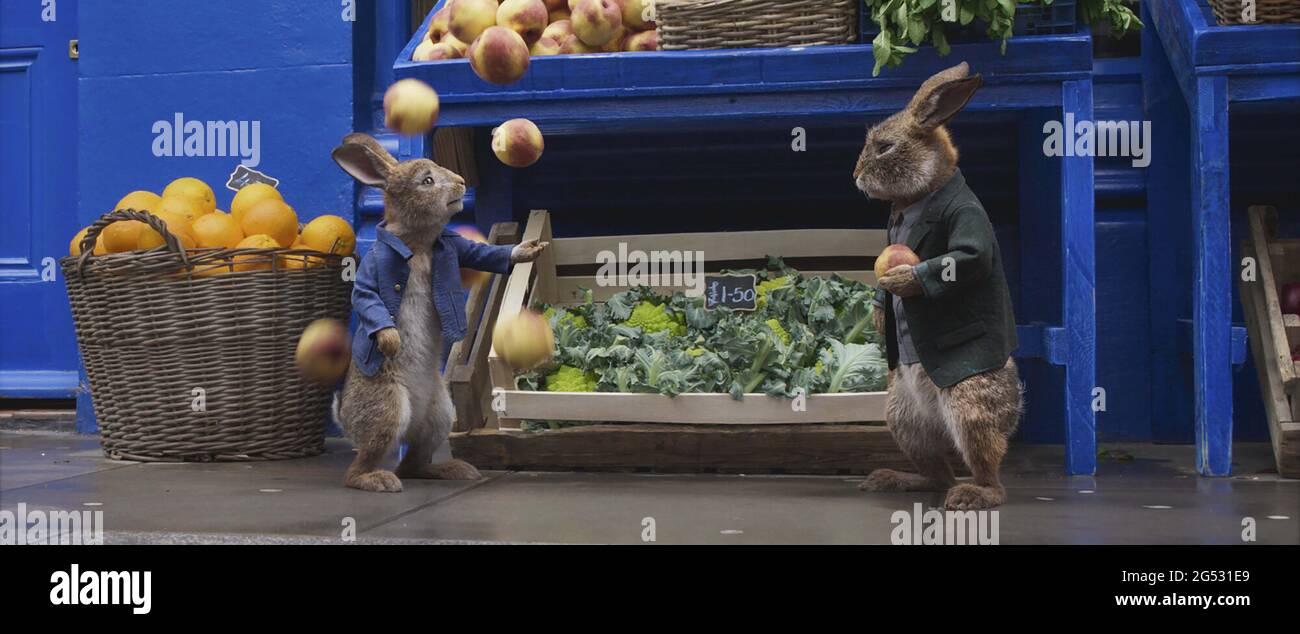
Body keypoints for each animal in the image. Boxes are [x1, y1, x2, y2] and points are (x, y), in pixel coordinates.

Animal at [329, 133, 546, 492]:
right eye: (427, 181)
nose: (461, 182)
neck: (418, 243)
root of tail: (343, 418)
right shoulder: (373, 272)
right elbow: (368, 298)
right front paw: (390, 341)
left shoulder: (458, 248)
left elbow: (484, 254)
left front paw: (527, 250)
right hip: (387, 410)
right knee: (359, 469)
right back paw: (378, 480)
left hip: (440, 415)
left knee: (412, 464)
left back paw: (454, 470)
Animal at [852, 62, 1024, 510]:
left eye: (884, 147)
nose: (855, 174)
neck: (917, 198)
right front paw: (879, 316)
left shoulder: (967, 224)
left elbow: (964, 261)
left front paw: (900, 280)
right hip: (902, 419)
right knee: (935, 472)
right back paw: (891, 478)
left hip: (969, 408)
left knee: (987, 471)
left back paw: (972, 495)